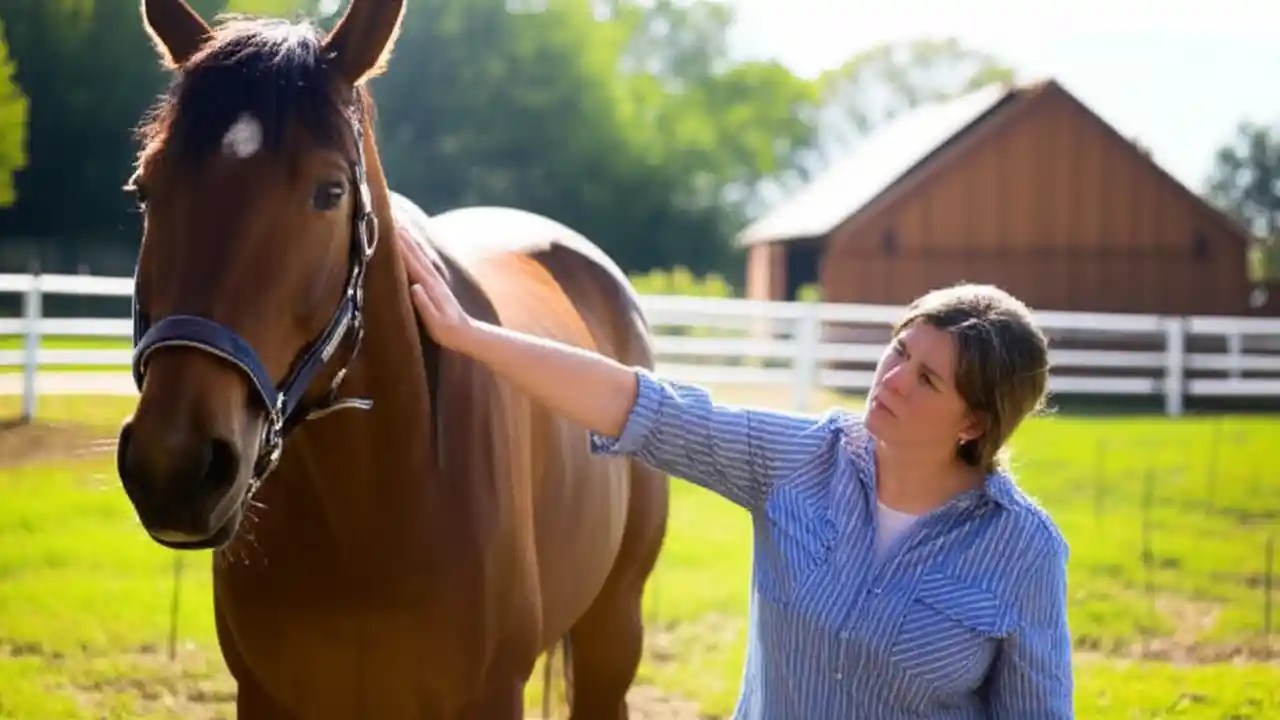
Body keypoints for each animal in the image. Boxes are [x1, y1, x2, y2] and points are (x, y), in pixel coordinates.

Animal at [115, 1, 669, 717]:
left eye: (329, 192)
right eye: (145, 190)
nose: (174, 466)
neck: (371, 516)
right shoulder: (265, 696)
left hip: (613, 630)